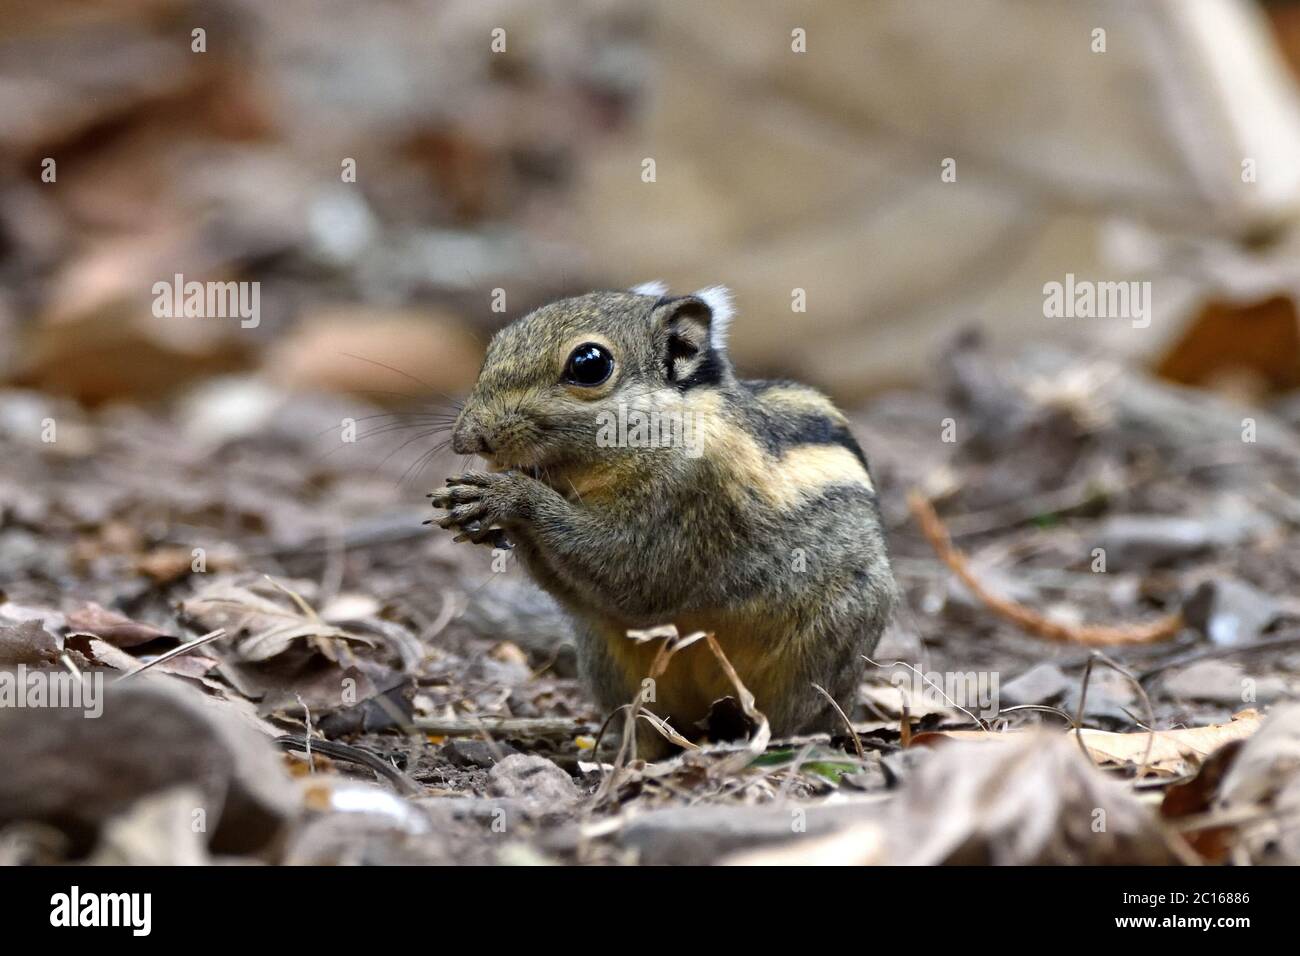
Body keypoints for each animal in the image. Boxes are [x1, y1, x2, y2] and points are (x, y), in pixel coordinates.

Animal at [429, 282, 896, 752]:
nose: (468, 438)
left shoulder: (688, 504)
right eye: (496, 343)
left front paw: (509, 495)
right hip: (608, 662)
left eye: (590, 364)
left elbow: (632, 574)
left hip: (817, 657)